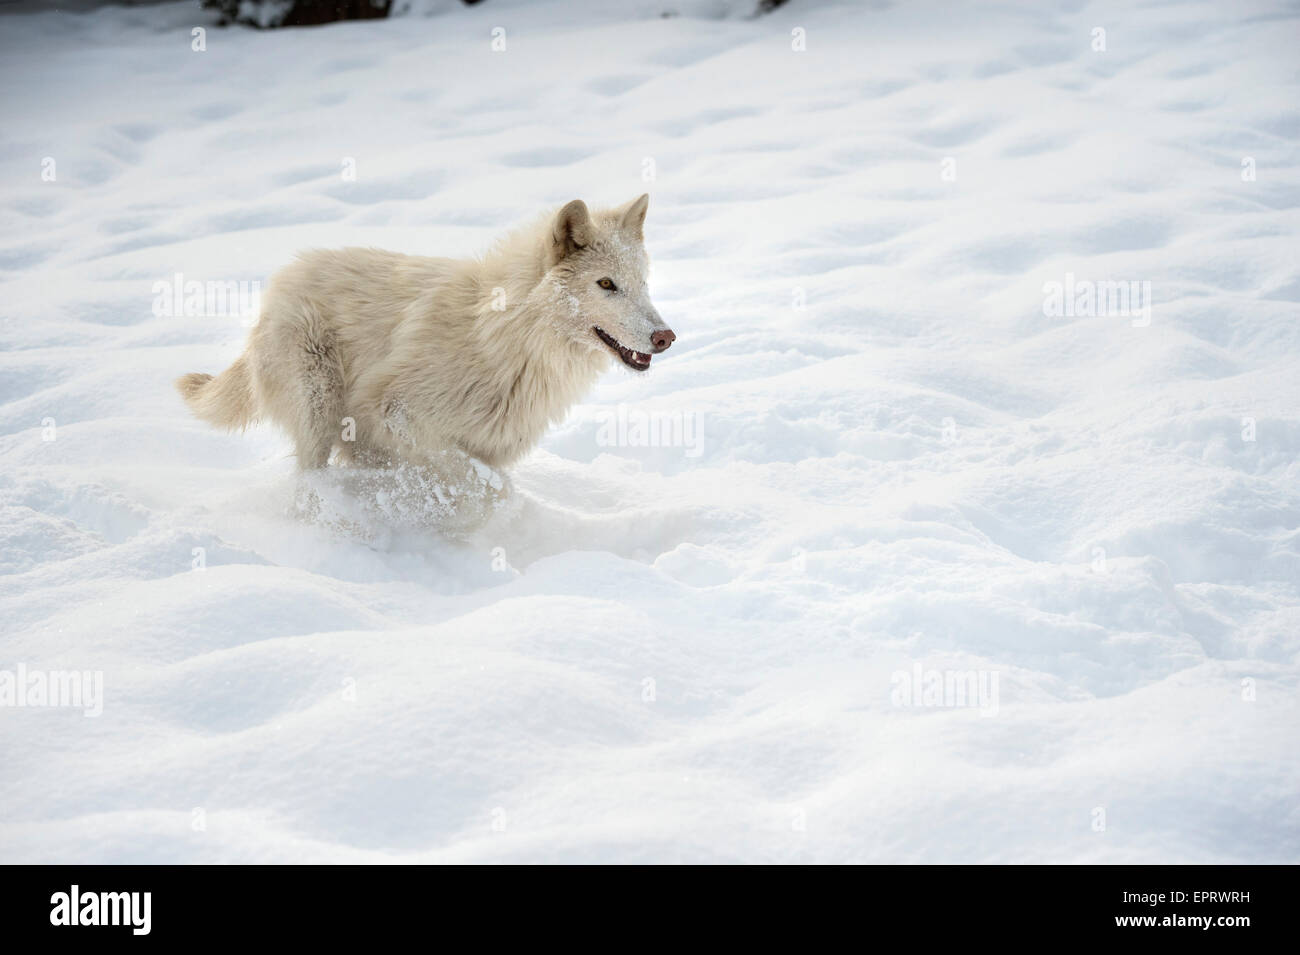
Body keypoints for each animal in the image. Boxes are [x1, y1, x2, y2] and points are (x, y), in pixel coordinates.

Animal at [176, 194, 674, 473]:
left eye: (642, 282)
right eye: (606, 285)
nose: (665, 337)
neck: (509, 338)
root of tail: (280, 282)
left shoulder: (488, 446)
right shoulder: (392, 410)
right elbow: (477, 485)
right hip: (318, 408)